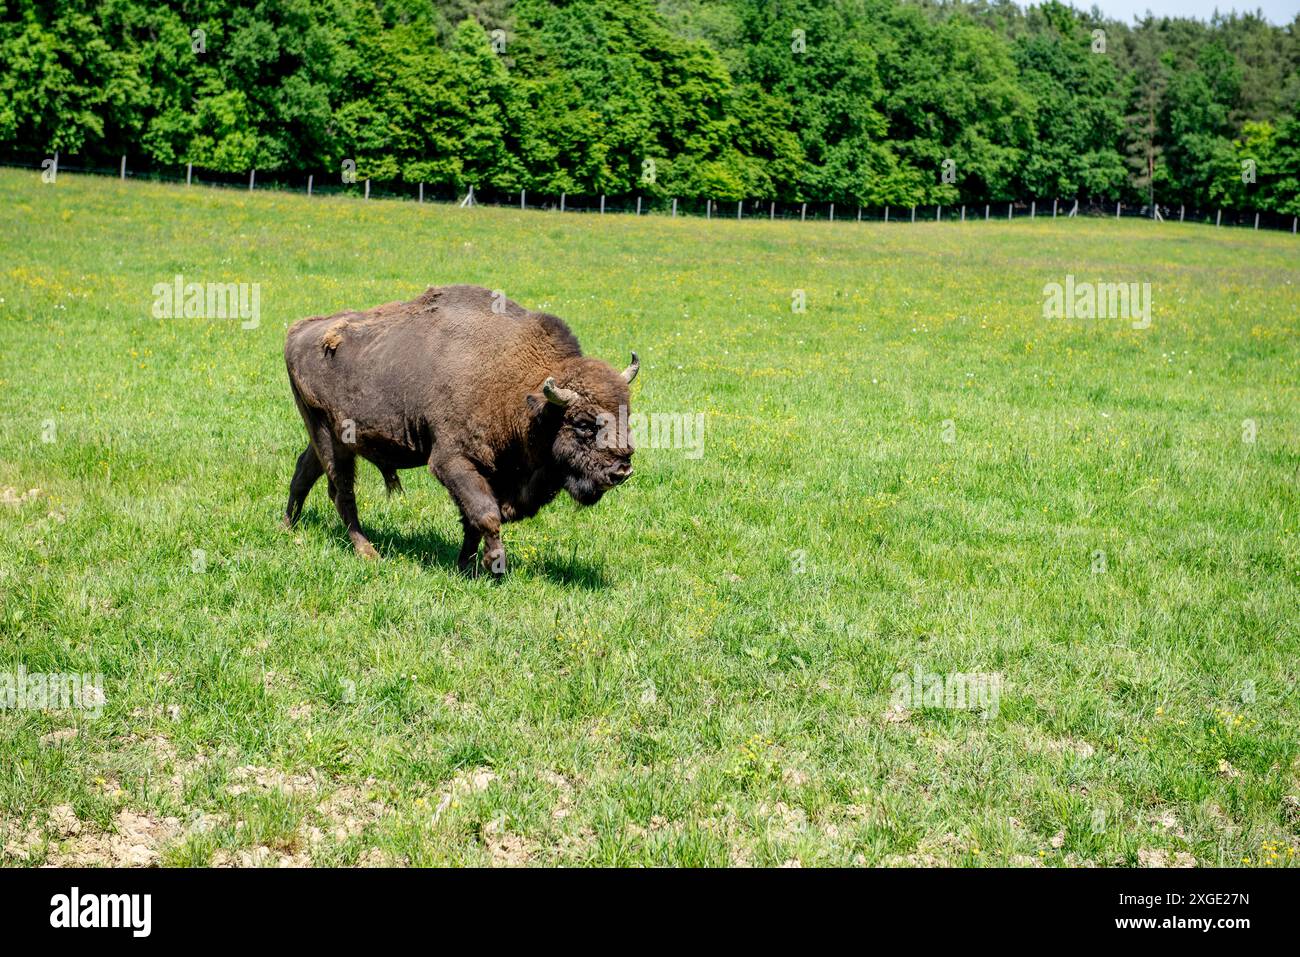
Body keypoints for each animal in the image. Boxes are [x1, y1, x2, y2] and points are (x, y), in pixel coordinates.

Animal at [283, 284, 638, 575]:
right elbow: (485, 513)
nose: (622, 470)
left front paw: (465, 565)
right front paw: (494, 566)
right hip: (329, 438)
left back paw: (288, 527)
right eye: (583, 424)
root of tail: (298, 329)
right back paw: (368, 552)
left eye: (626, 415)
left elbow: (473, 520)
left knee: (304, 472)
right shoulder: (452, 461)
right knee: (342, 492)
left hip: (327, 438)